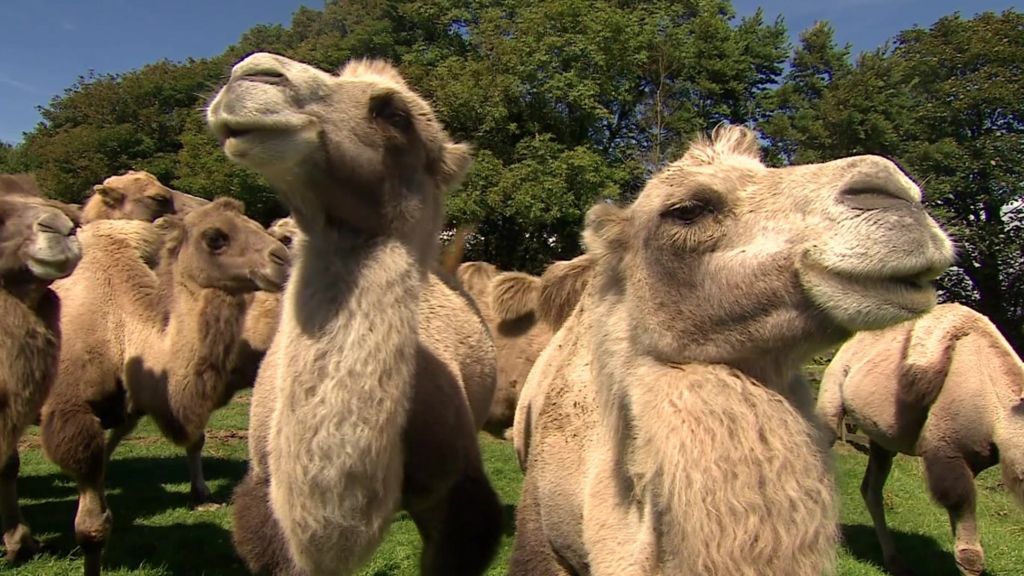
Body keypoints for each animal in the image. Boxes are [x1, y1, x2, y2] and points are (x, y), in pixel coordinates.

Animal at [40, 197, 290, 576]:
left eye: (255, 225)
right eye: (215, 238)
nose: (282, 260)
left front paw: (201, 493)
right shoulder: (71, 414)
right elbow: (92, 524)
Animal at [817, 302, 1024, 576]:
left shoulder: (974, 457)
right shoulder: (945, 451)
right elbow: (969, 552)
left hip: (882, 439)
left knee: (871, 488)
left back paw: (895, 561)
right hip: (833, 389)